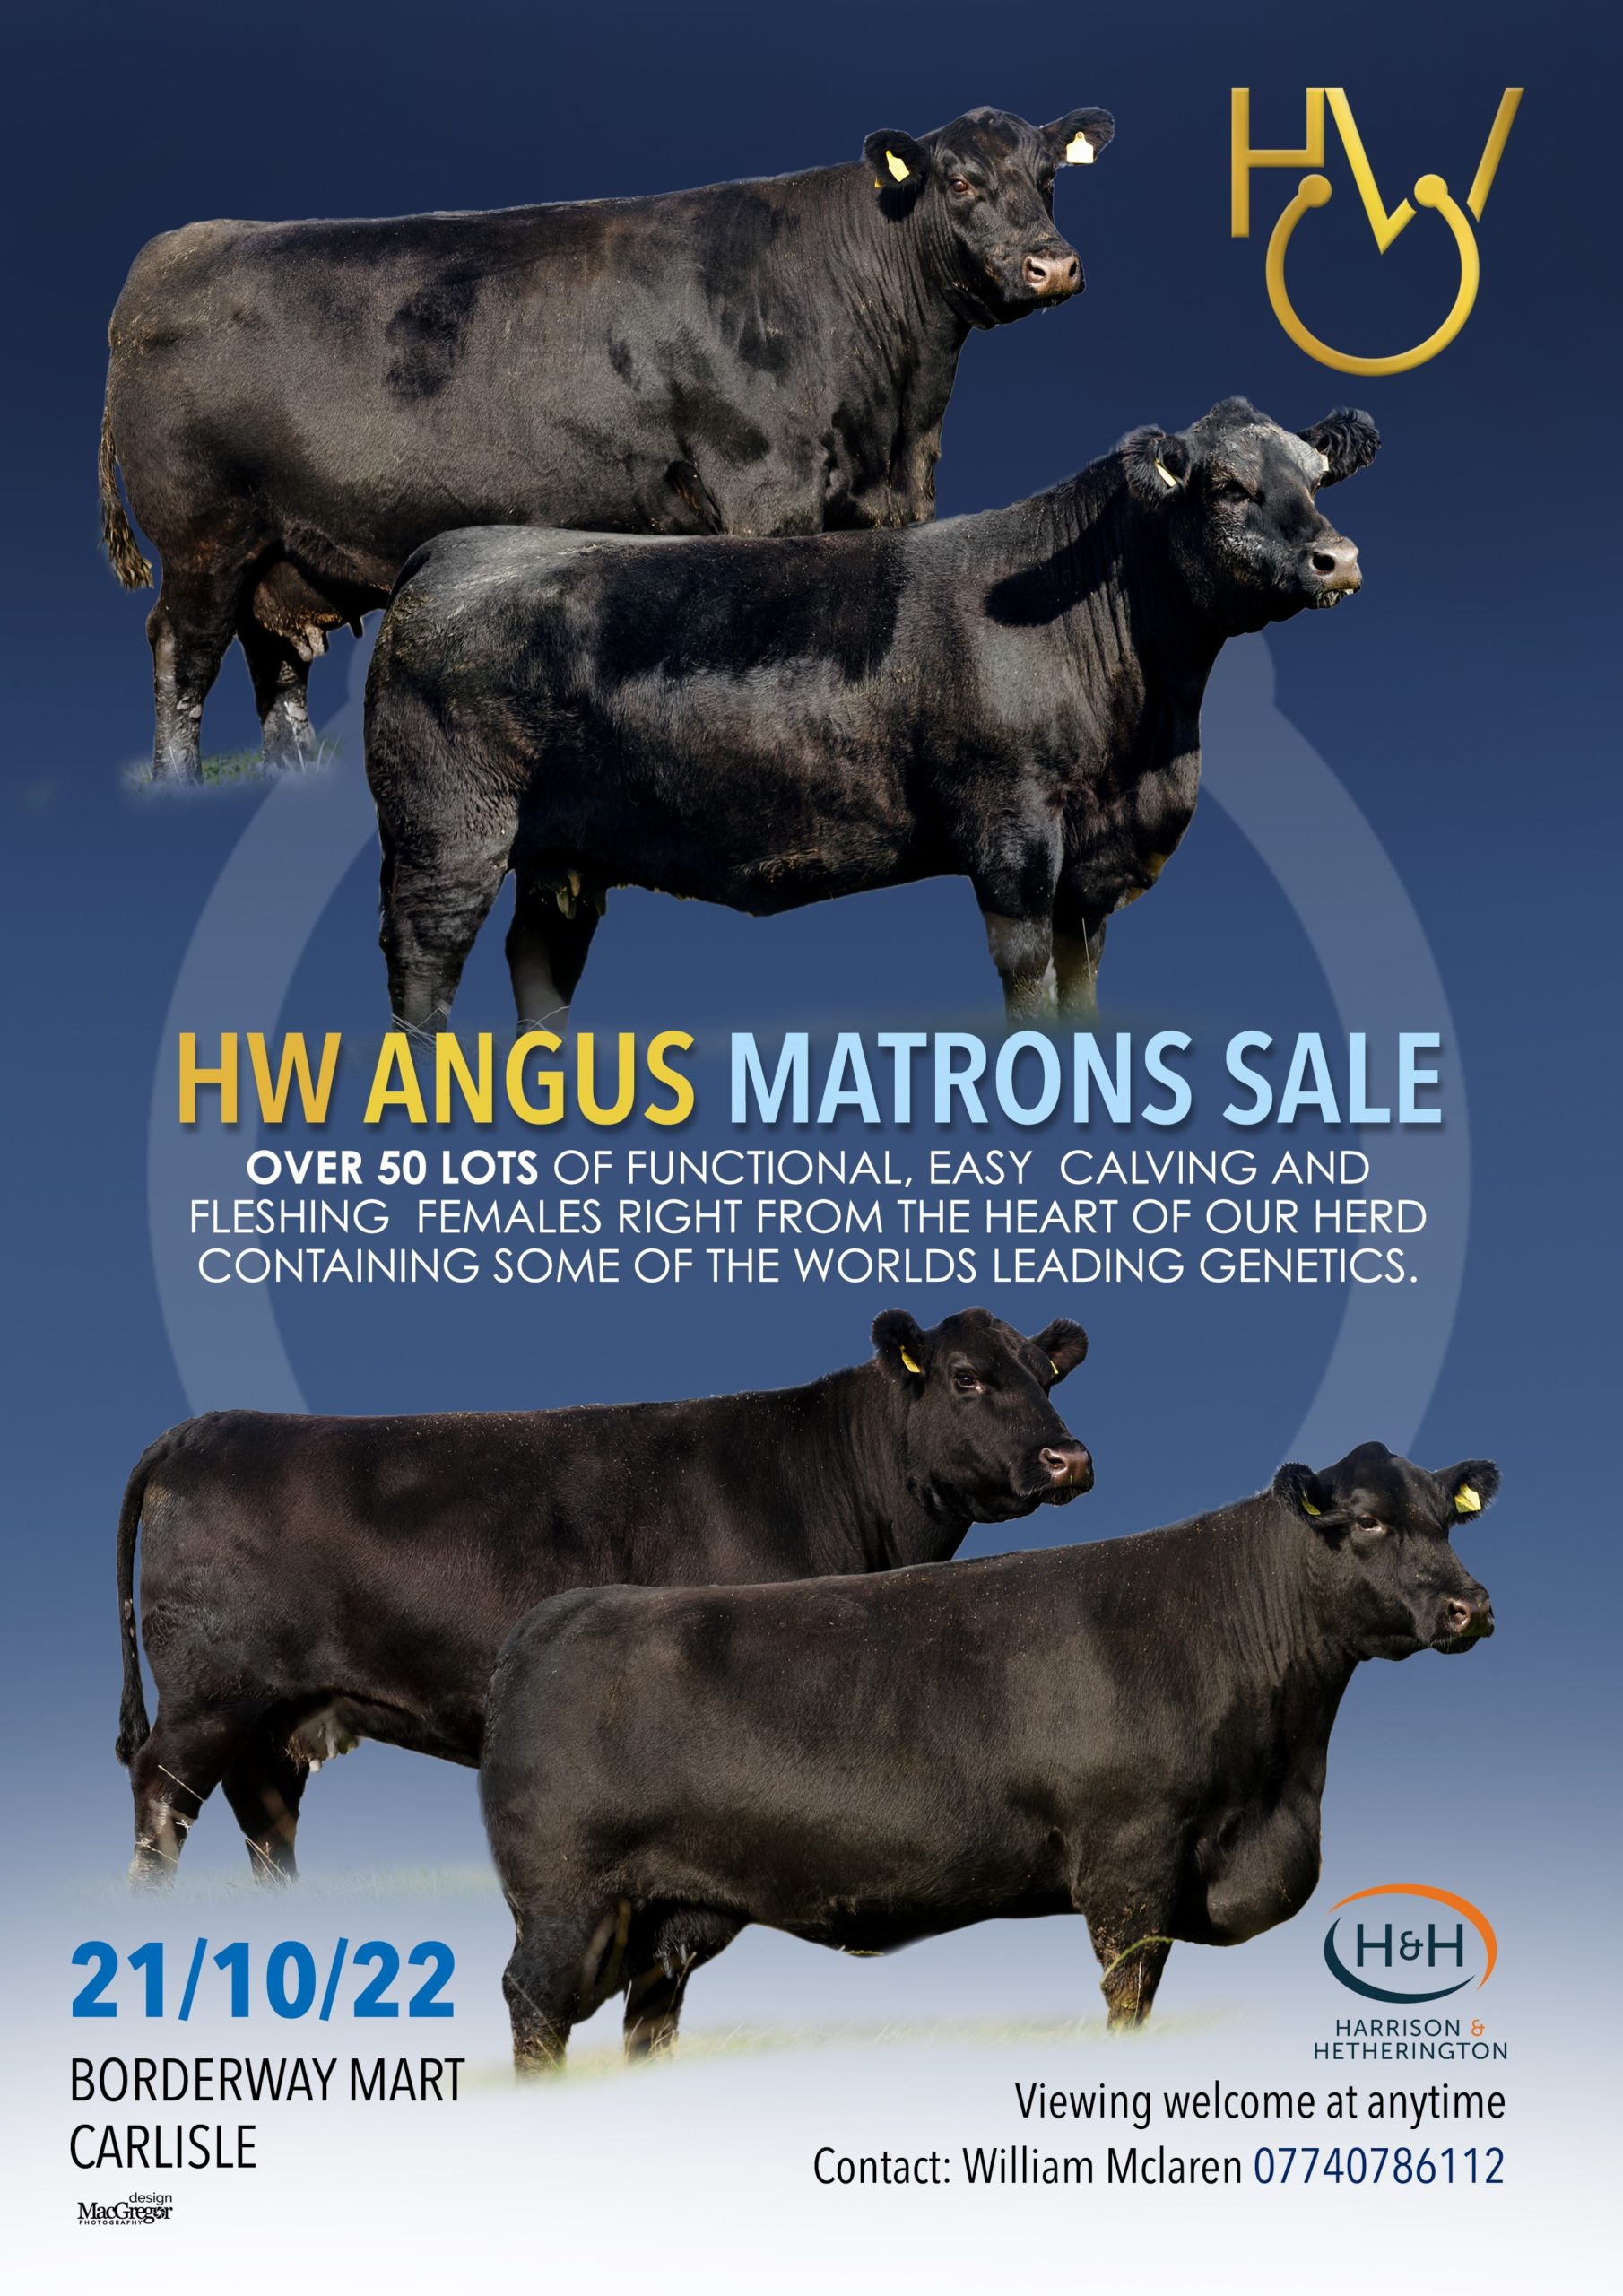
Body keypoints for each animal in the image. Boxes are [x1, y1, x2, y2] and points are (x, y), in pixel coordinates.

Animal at [98, 105, 1114, 782]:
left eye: (1049, 179)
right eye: (961, 182)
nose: (1054, 264)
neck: (900, 416)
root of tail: (172, 253)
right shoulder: (767, 490)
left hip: (276, 546)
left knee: (273, 660)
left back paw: (297, 775)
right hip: (204, 534)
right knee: (182, 652)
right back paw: (178, 788)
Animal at [115, 1307, 1090, 1883]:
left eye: (1047, 1375)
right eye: (965, 1376)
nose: (1068, 1457)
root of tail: (201, 1429)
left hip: (273, 1720)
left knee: (265, 1824)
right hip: (208, 1698)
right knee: (160, 1800)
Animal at [362, 396, 1378, 1036]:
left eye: (1318, 478)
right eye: (1228, 487)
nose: (1338, 558)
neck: (1152, 739)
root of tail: (454, 548)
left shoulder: (1093, 864)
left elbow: (1082, 983)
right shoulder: (1011, 829)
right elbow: (1028, 980)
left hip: (561, 850)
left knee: (538, 963)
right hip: (445, 834)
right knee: (423, 965)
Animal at [478, 1441, 1497, 2068]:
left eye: (1449, 1518)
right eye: (1365, 1520)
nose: (1469, 1606)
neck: (1283, 1779)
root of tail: (555, 1616)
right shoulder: (1128, 1854)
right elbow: (1127, 1995)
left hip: (670, 1916)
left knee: (647, 2017)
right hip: (563, 1896)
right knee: (534, 2005)